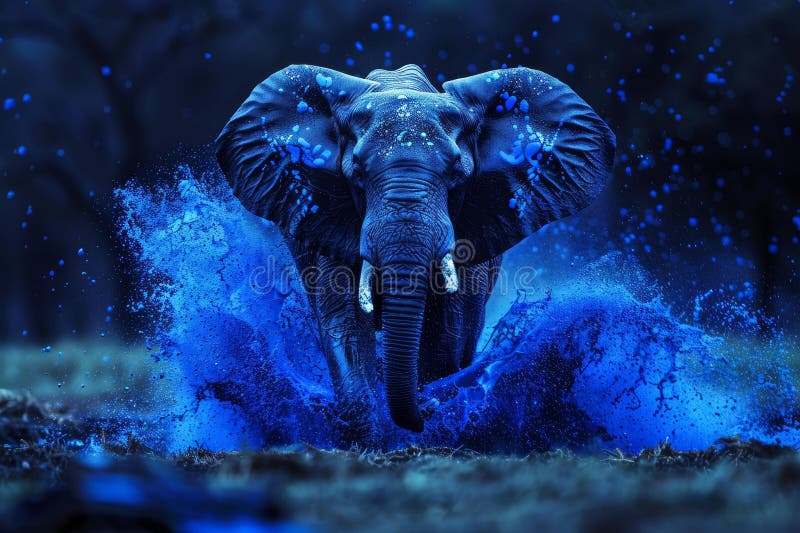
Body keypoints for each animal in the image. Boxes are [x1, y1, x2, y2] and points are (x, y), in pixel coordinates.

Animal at [215, 63, 615, 439]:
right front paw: (372, 437)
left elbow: (449, 332)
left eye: (456, 173)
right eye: (357, 172)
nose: (418, 421)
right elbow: (346, 325)